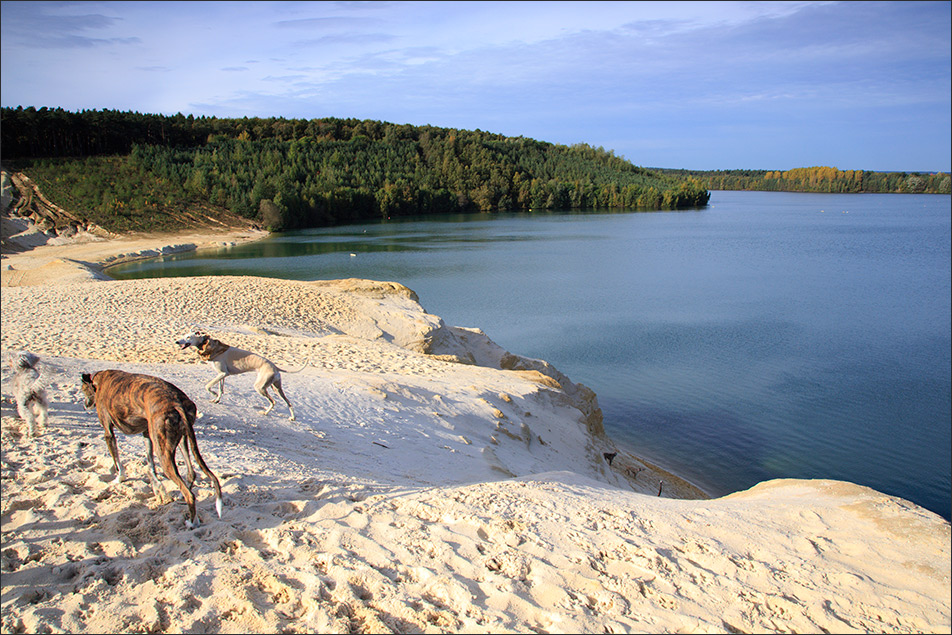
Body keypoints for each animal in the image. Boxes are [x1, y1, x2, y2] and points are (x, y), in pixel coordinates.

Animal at [177, 330, 306, 420]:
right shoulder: (222, 375)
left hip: (260, 387)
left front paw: (214, 394)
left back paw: (265, 412)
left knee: (273, 401)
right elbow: (221, 389)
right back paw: (292, 417)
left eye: (188, 337)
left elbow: (208, 386)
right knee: (288, 402)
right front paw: (216, 399)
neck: (209, 345)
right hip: (276, 387)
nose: (177, 342)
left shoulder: (223, 373)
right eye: (184, 335)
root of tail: (275, 366)